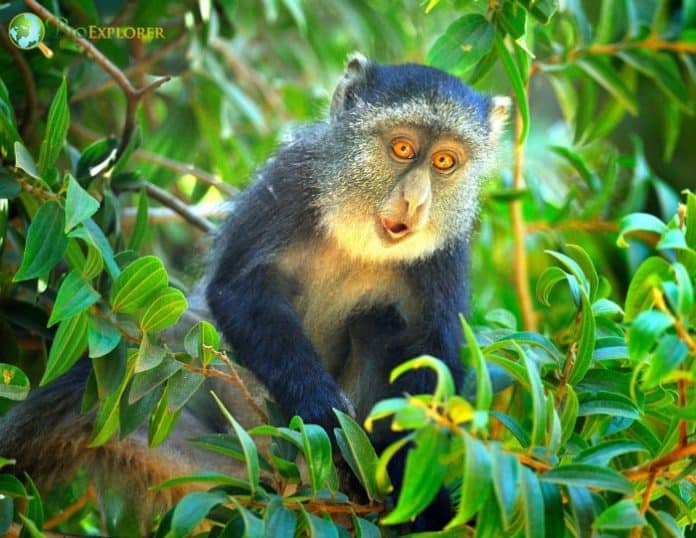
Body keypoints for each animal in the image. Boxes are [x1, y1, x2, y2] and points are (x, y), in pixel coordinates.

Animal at [205, 53, 510, 529]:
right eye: (402, 149)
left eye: (444, 161)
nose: (415, 201)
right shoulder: (289, 181)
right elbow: (238, 291)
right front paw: (321, 408)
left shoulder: (445, 252)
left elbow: (433, 348)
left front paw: (421, 496)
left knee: (379, 321)